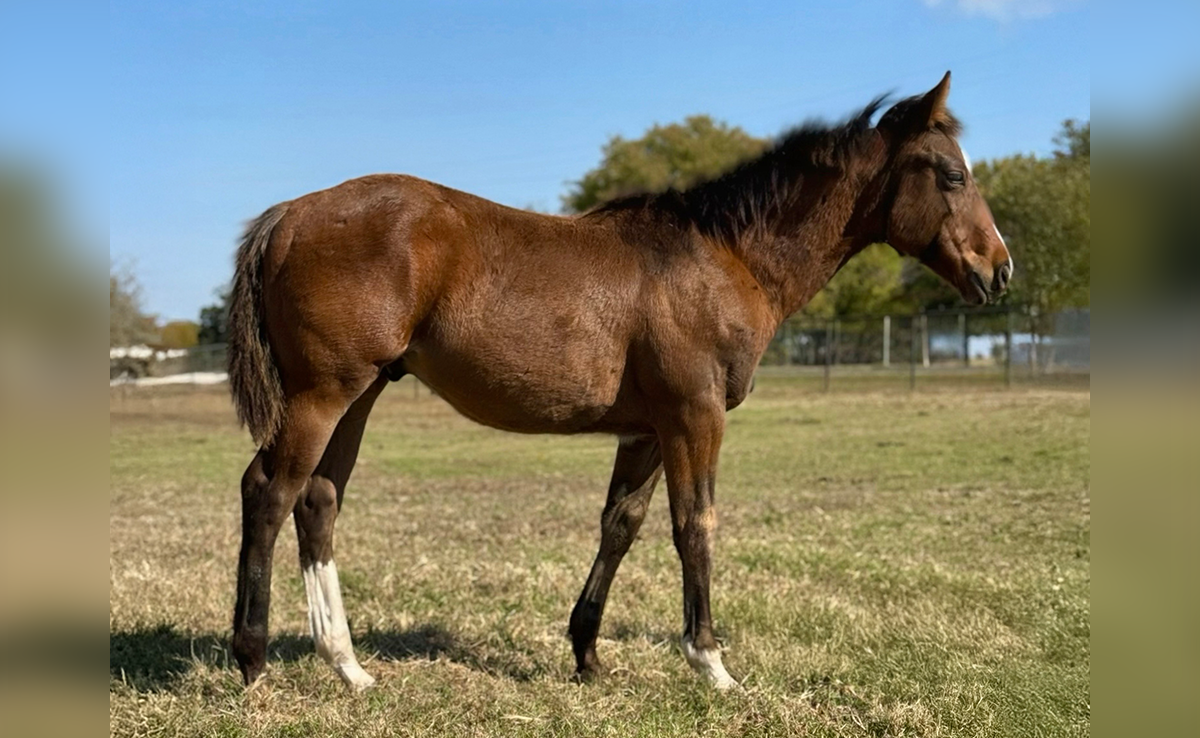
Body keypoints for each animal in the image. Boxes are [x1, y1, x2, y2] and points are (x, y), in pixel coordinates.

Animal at [227, 72, 1012, 691]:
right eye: (952, 175)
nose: (999, 269)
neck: (724, 256)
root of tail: (292, 214)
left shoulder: (647, 430)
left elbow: (621, 526)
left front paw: (588, 656)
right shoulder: (696, 417)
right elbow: (695, 525)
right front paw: (711, 664)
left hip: (360, 395)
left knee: (318, 501)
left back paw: (347, 665)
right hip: (323, 396)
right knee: (271, 493)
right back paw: (252, 659)